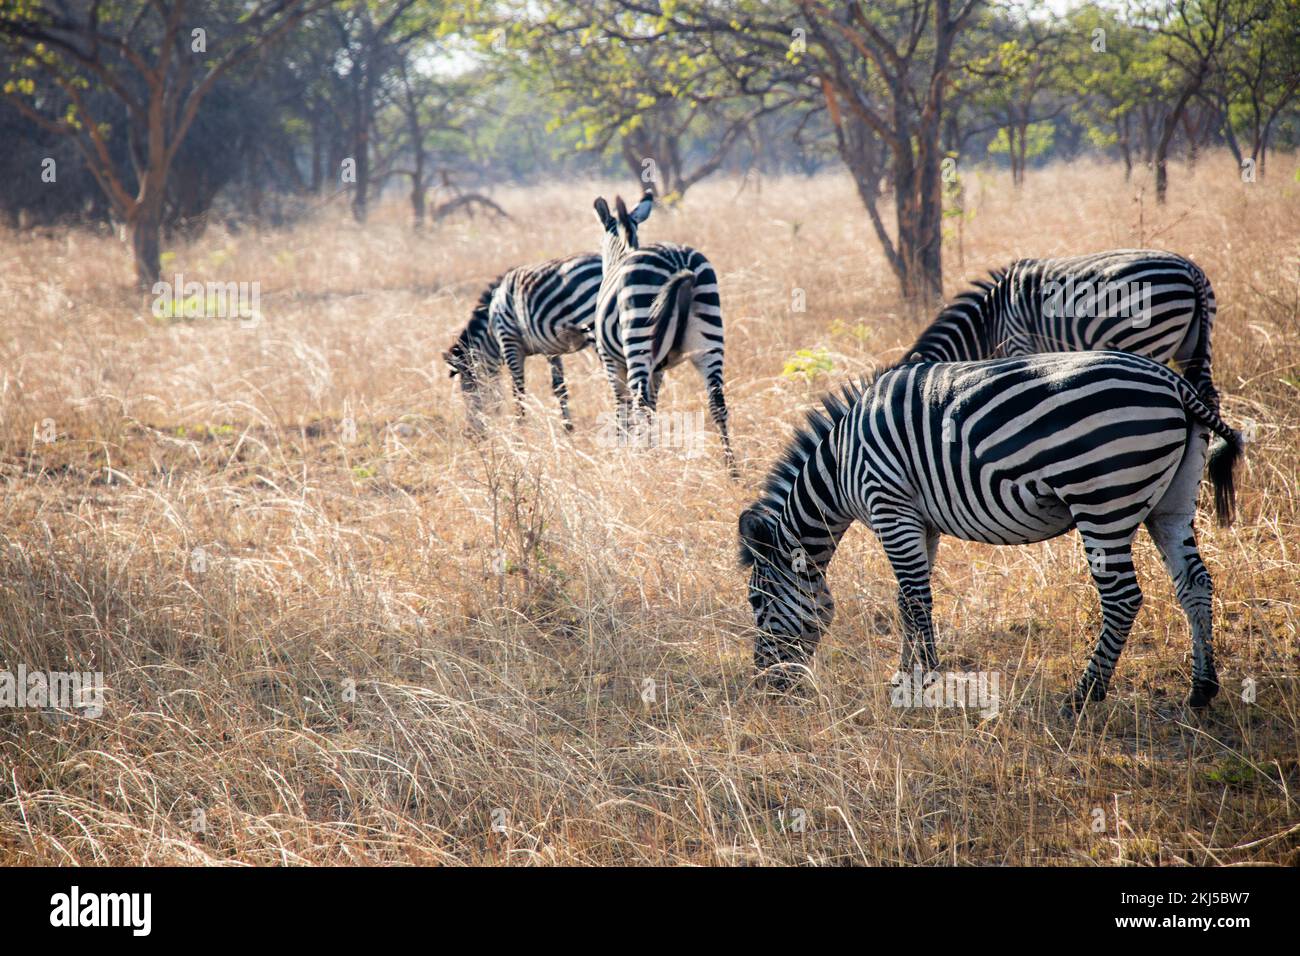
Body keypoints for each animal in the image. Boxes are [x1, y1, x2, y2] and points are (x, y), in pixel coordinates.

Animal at [443, 253, 602, 431]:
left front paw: (520, 428)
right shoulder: (551, 349)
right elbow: (559, 388)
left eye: (468, 388)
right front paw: (568, 428)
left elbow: (517, 390)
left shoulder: (509, 341)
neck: (491, 334)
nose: (473, 431)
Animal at [592, 190, 735, 475]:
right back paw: (732, 469)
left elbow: (621, 408)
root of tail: (679, 262)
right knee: (717, 400)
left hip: (638, 333)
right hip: (710, 336)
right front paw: (650, 448)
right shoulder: (657, 369)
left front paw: (624, 452)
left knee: (640, 403)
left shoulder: (610, 361)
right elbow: (654, 404)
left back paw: (642, 464)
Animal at [738, 351, 1244, 715]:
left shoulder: (890, 506)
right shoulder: (919, 521)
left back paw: (1082, 696)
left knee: (1122, 598)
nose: (765, 685)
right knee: (1195, 584)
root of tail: (1174, 384)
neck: (841, 463)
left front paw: (925, 684)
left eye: (756, 603)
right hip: (1171, 503)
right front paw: (905, 677)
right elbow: (905, 601)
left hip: (1102, 498)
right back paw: (1202, 690)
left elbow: (915, 600)